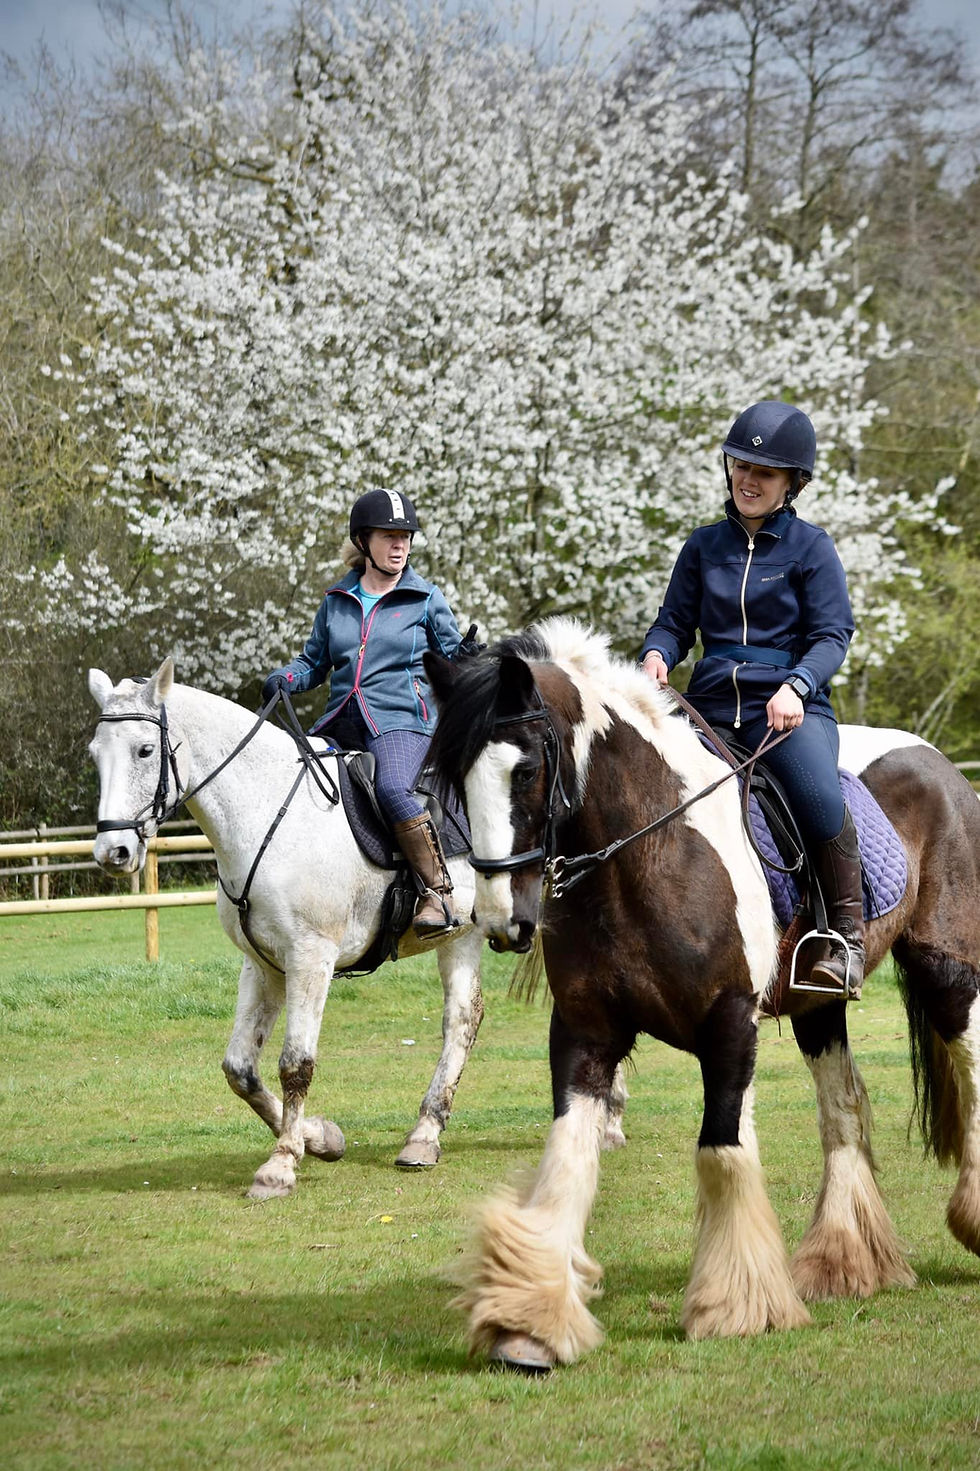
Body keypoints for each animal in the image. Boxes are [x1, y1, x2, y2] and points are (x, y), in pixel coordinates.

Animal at [86, 657, 492, 1196]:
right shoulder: (263, 963)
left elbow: (296, 1064)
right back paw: (424, 1135)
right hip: (462, 935)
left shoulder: (310, 957)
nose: (113, 853)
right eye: (95, 754)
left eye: (145, 750)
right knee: (463, 1020)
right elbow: (239, 1069)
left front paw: (280, 1165)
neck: (267, 811)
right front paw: (317, 1138)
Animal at [422, 617, 980, 1371]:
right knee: (843, 1106)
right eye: (456, 777)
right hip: (818, 1005)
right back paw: (843, 1259)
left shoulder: (730, 1024)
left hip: (946, 969)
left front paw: (737, 1305)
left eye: (527, 770)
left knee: (968, 1063)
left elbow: (722, 1148)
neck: (645, 852)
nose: (501, 920)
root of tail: (943, 766)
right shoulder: (586, 1028)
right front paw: (530, 1321)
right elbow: (567, 1155)